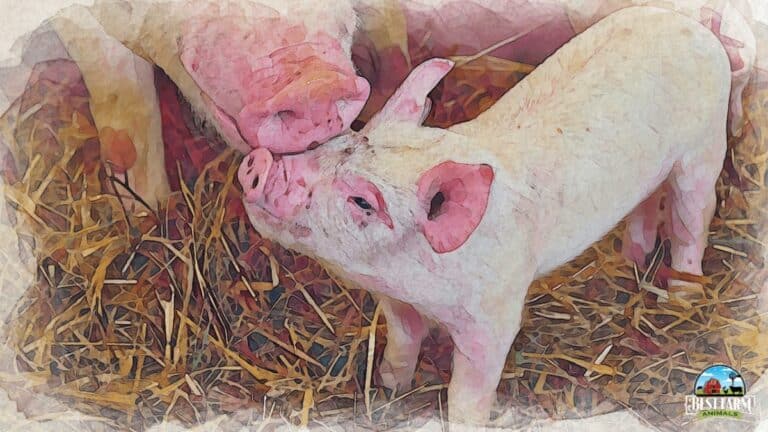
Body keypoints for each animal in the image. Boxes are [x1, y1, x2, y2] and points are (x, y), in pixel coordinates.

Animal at [236, 6, 749, 425]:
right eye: (338, 142)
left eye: (363, 201)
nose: (262, 165)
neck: (419, 282)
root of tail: (690, 25)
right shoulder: (395, 300)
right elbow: (402, 339)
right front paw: (389, 386)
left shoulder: (496, 313)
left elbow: (469, 388)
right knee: (647, 205)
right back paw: (630, 259)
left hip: (704, 146)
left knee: (692, 218)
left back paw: (680, 297)